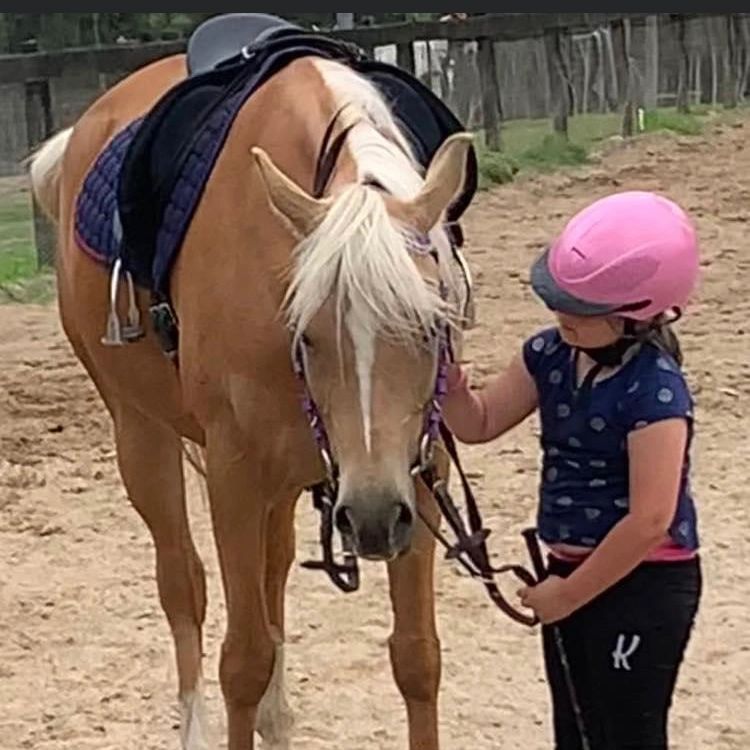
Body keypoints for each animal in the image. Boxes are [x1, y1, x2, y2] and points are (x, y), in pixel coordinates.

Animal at [28, 32, 475, 750]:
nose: (373, 517)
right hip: (143, 435)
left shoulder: (416, 470)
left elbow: (416, 656)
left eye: (432, 326)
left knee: (274, 575)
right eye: (307, 333)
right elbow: (242, 659)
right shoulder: (234, 475)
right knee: (184, 584)